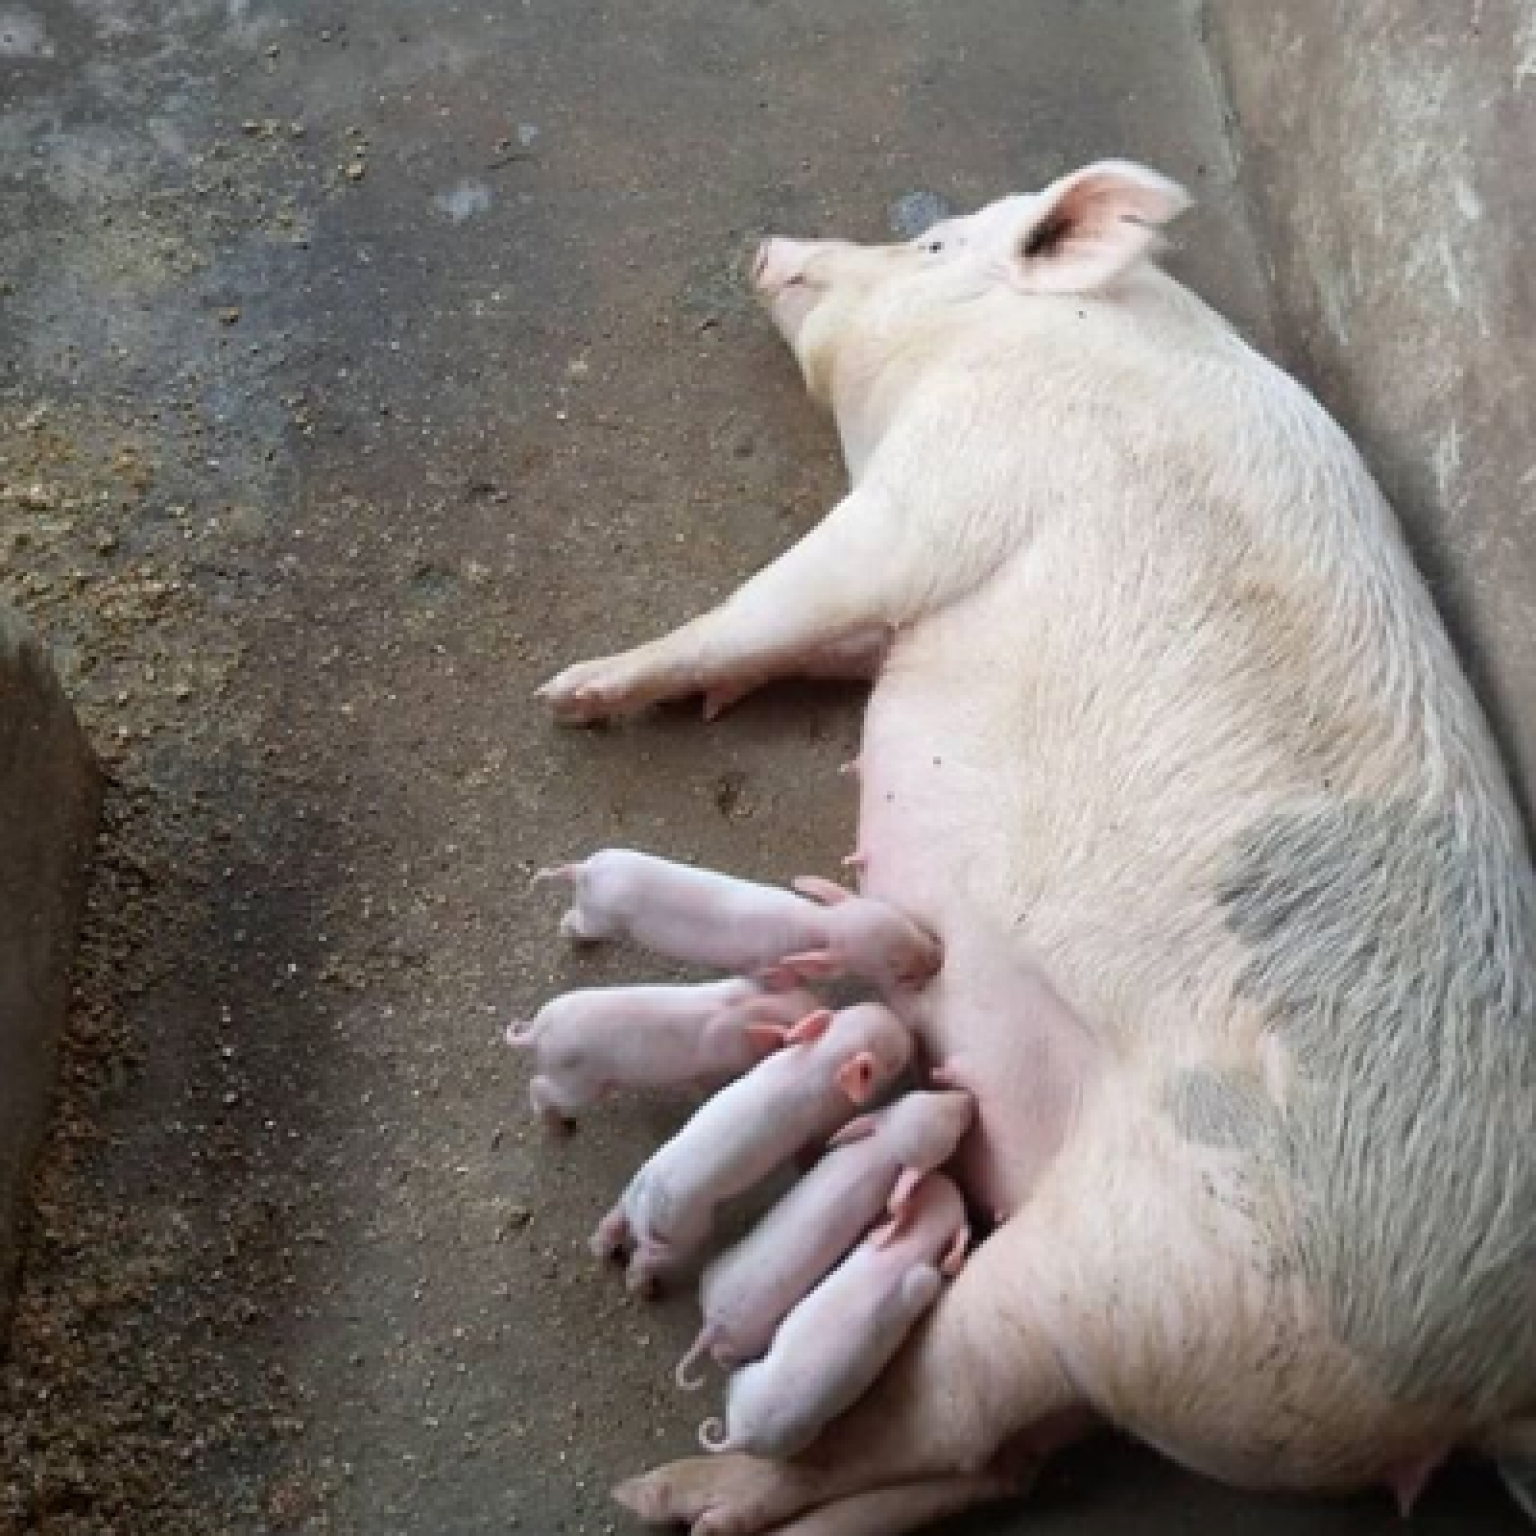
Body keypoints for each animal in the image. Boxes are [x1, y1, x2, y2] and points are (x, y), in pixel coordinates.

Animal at [505, 979, 820, 1128]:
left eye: (810, 995)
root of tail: (539, 1031)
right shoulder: (712, 1069)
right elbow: (709, 1087)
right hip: (575, 1081)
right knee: (538, 1086)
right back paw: (557, 1124)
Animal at [534, 849, 941, 990]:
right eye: (896, 968)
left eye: (910, 923)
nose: (939, 958)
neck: (820, 923)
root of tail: (585, 870)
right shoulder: (761, 961)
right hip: (599, 917)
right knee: (573, 921)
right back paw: (572, 935)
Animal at [591, 1003, 913, 1294]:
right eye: (894, 1060)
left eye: (851, 1009)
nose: (908, 1029)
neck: (826, 1057)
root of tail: (644, 1207)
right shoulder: (819, 1123)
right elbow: (813, 1147)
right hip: (684, 1230)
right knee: (646, 1258)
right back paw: (642, 1287)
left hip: (635, 1192)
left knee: (616, 1217)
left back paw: (600, 1246)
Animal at [675, 1089, 975, 1387]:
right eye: (953, 1136)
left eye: (928, 1093)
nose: (968, 1097)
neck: (884, 1147)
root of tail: (713, 1325)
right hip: (750, 1335)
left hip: (711, 1276)